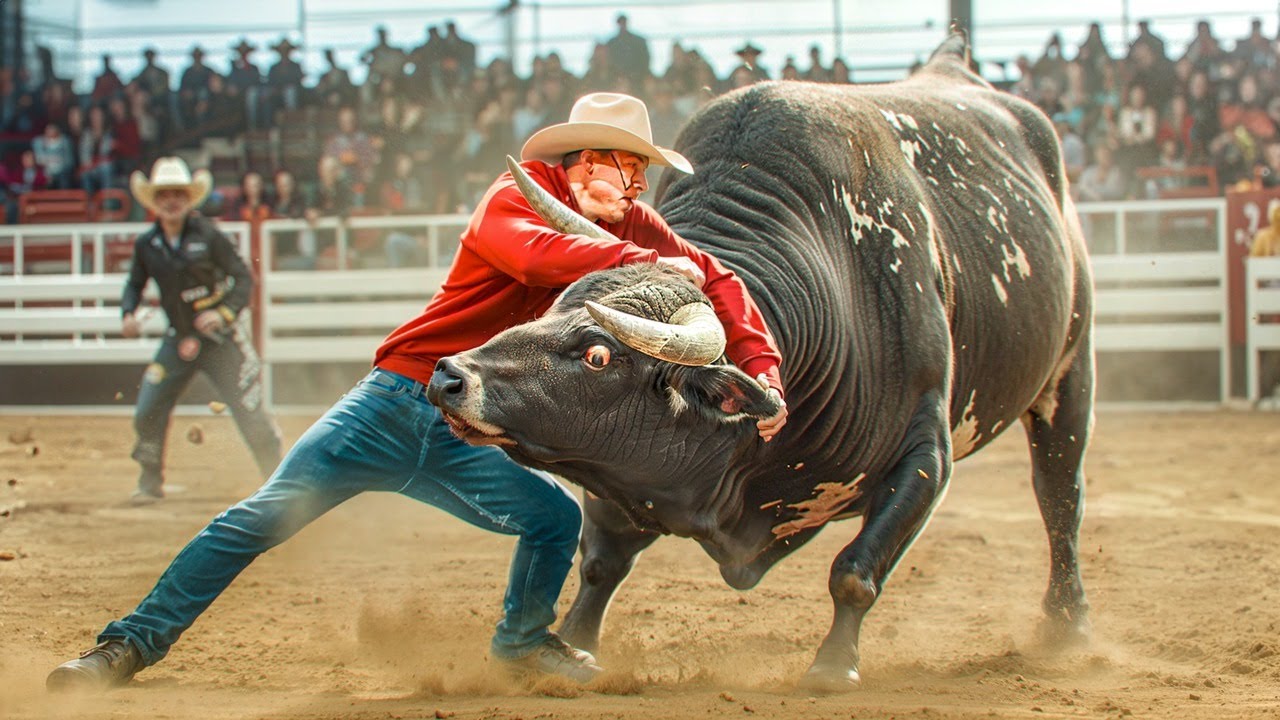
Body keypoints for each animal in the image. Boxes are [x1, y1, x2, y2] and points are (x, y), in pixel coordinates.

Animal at [426, 34, 1093, 691]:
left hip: (1069, 376)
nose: (453, 377)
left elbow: (855, 571)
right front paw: (576, 645)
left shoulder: (926, 455)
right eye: (548, 307)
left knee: (1059, 495)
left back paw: (1068, 626)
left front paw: (833, 664)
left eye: (598, 354)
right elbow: (600, 563)